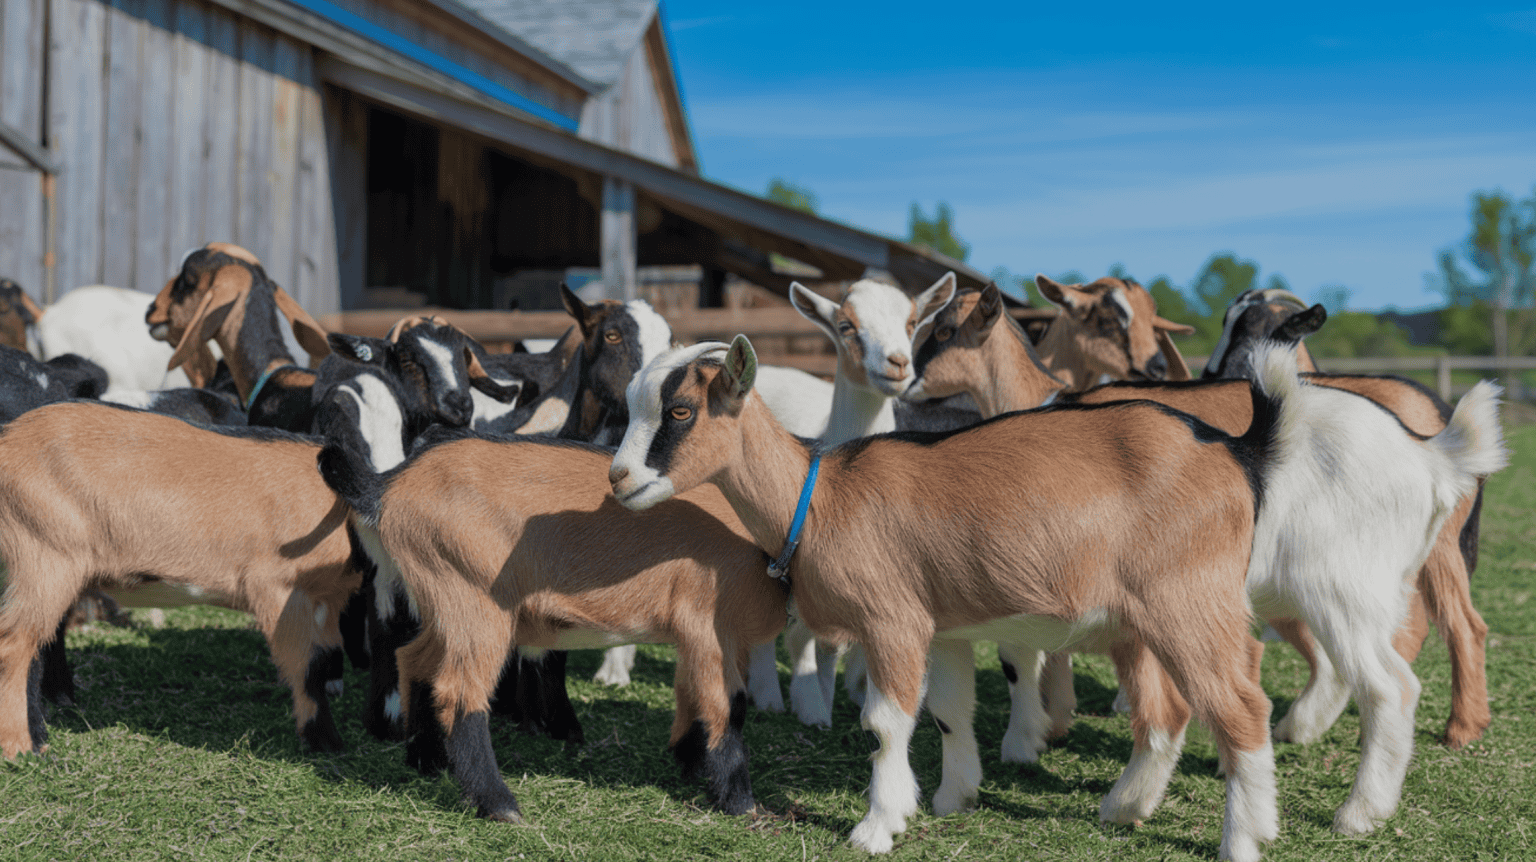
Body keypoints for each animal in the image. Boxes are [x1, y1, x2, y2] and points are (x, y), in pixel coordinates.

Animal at [0, 402, 360, 759]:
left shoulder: (331, 599)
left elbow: (327, 658)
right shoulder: (281, 587)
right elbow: (307, 665)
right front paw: (325, 742)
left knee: (40, 642)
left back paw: (46, 724)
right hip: (46, 552)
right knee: (17, 642)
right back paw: (23, 748)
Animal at [312, 341, 785, 820]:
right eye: (682, 410)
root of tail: (390, 484)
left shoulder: (700, 636)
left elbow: (690, 695)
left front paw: (691, 769)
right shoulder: (709, 626)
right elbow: (727, 707)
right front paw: (741, 804)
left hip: (447, 600)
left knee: (415, 658)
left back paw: (426, 760)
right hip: (475, 600)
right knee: (459, 692)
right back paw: (499, 804)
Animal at [614, 334, 1503, 856]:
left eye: (681, 410)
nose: (619, 479)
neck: (825, 490)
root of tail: (1241, 451)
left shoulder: (891, 620)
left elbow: (883, 724)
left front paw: (876, 825)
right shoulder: (944, 627)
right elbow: (949, 713)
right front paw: (952, 797)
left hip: (1227, 602)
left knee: (1264, 703)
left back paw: (1268, 832)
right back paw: (1131, 807)